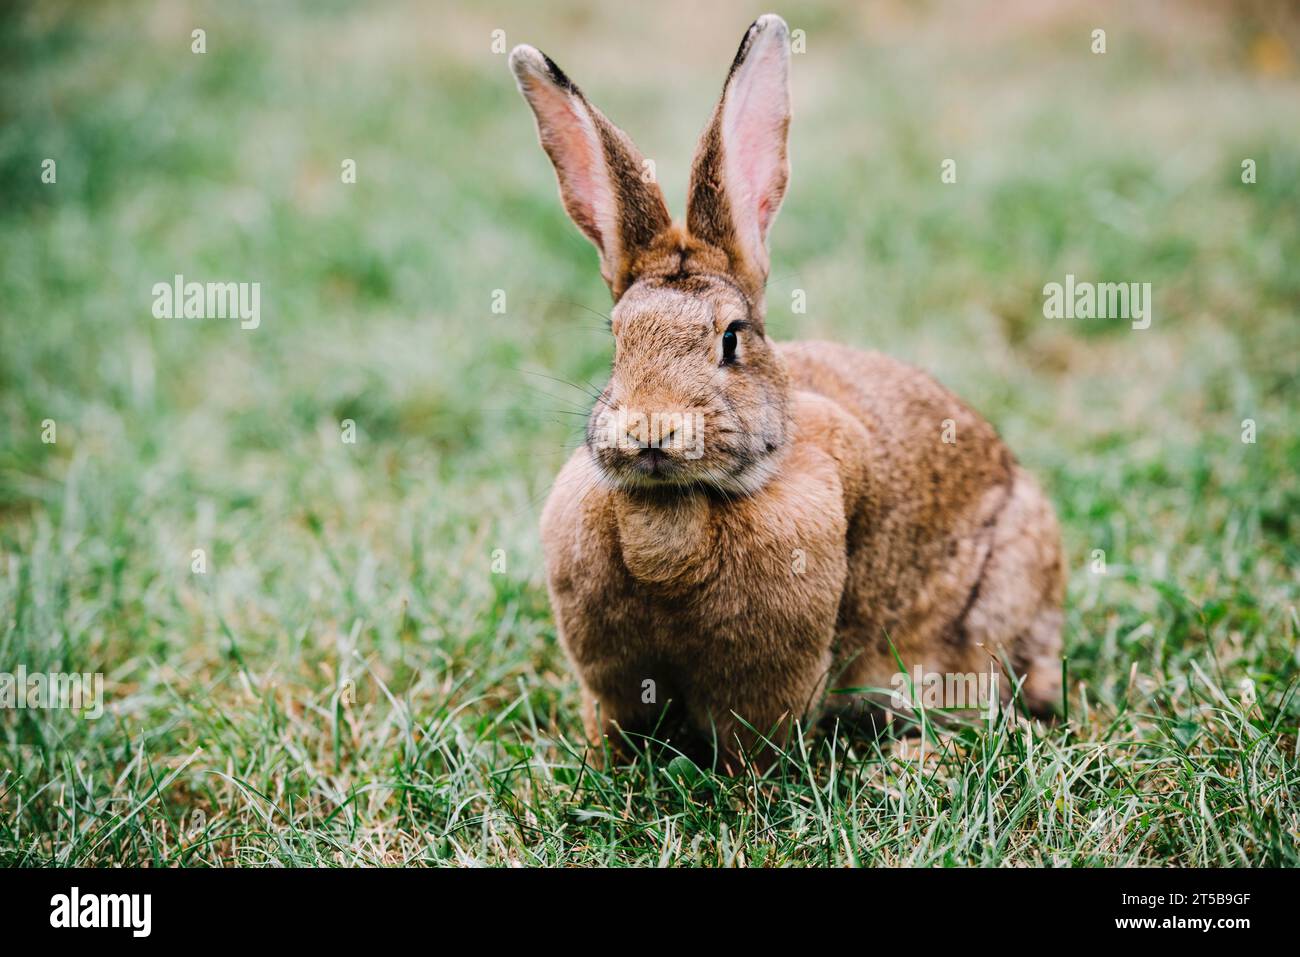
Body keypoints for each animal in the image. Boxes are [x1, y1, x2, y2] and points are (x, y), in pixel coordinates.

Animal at [510, 14, 1064, 772]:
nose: (652, 431)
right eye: (616, 339)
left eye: (731, 339)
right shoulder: (613, 684)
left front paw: (752, 785)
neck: (675, 509)